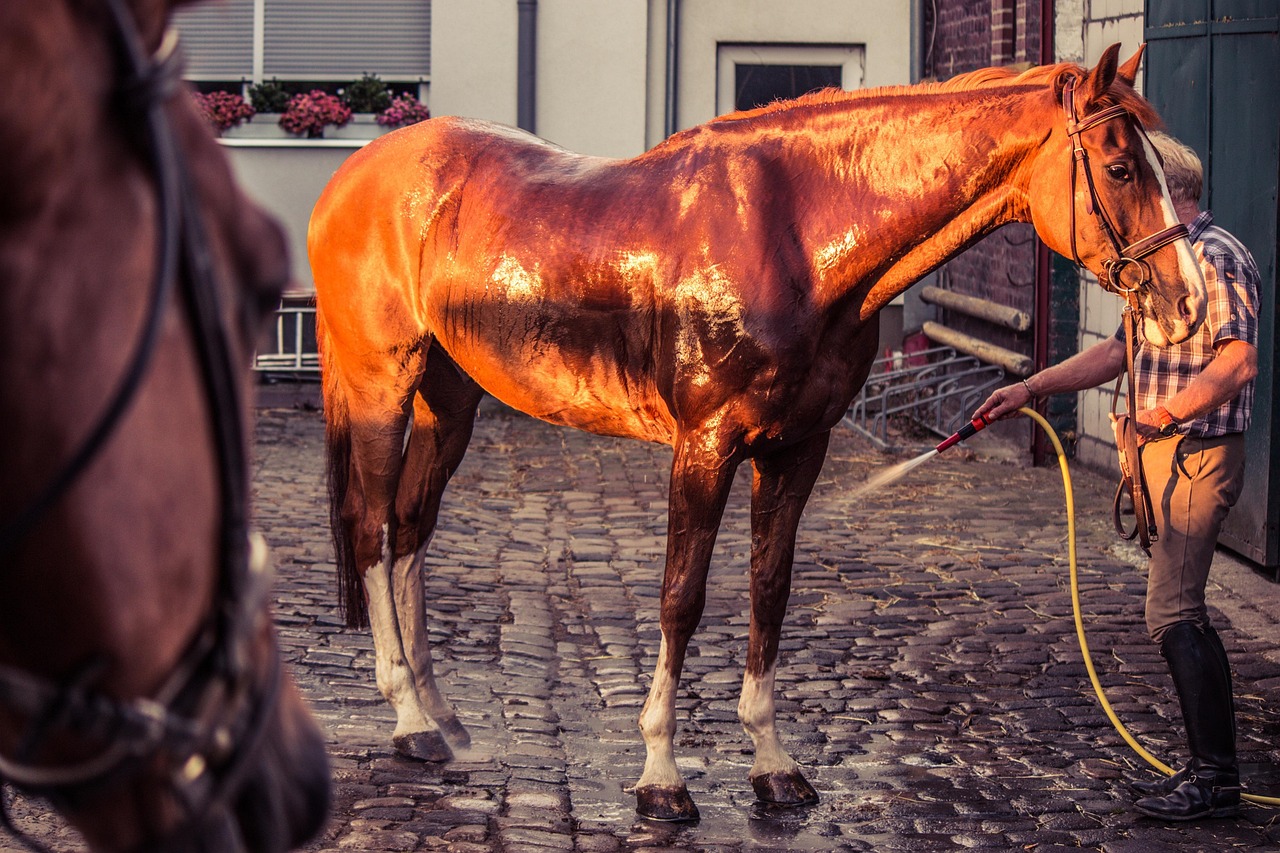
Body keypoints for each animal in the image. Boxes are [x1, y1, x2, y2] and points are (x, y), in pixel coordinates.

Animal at [309, 44, 1205, 821]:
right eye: (1121, 167)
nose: (1188, 302)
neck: (792, 236)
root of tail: (352, 175)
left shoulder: (796, 448)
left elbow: (769, 590)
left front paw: (774, 767)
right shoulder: (705, 447)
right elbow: (681, 597)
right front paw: (661, 775)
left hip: (448, 400)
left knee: (411, 528)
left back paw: (441, 714)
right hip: (382, 391)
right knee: (373, 528)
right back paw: (408, 717)